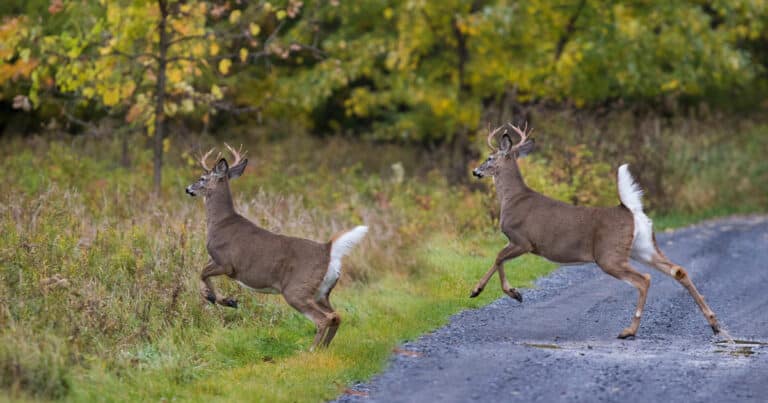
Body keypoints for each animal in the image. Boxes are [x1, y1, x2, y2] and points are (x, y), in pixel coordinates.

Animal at [185, 144, 368, 348]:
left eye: (202, 178)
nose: (188, 189)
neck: (220, 223)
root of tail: (328, 249)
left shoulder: (226, 262)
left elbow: (201, 273)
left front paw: (223, 299)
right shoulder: (217, 261)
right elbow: (202, 275)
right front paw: (226, 300)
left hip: (296, 288)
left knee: (323, 319)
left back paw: (311, 349)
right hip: (322, 292)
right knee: (337, 315)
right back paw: (324, 348)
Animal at [470, 122, 721, 339]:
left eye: (489, 158)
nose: (475, 171)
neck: (512, 199)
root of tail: (630, 210)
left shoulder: (523, 240)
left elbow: (498, 257)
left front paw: (502, 292)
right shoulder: (517, 242)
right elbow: (498, 259)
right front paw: (486, 291)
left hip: (609, 255)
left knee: (644, 279)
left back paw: (629, 331)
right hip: (643, 247)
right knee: (678, 270)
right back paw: (714, 323)